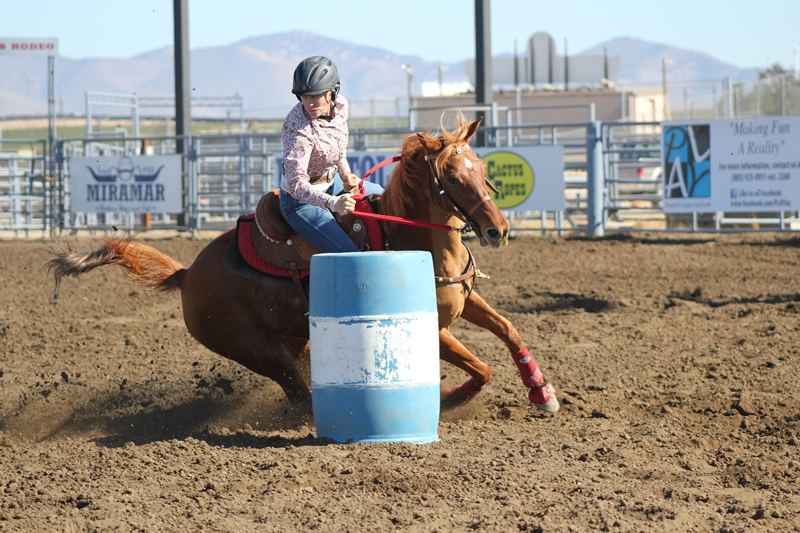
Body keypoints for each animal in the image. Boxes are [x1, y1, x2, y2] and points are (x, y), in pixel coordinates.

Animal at [44, 115, 559, 415]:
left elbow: (509, 329)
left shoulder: (466, 301)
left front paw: (542, 392)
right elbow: (481, 368)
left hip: (291, 335)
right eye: (451, 176)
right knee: (295, 388)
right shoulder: (434, 326)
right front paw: (450, 398)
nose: (498, 230)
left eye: (481, 167)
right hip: (254, 348)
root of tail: (188, 274)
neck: (414, 239)